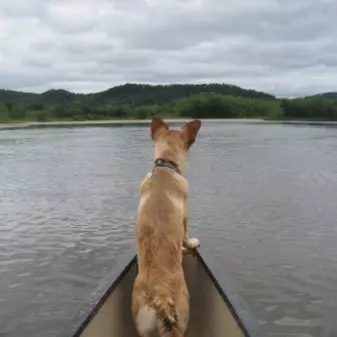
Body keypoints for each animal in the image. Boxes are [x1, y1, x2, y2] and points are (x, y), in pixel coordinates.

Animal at [131, 116, 200, 336]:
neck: (165, 166)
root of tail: (160, 295)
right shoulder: (185, 214)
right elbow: (186, 236)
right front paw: (192, 243)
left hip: (142, 325)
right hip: (183, 315)